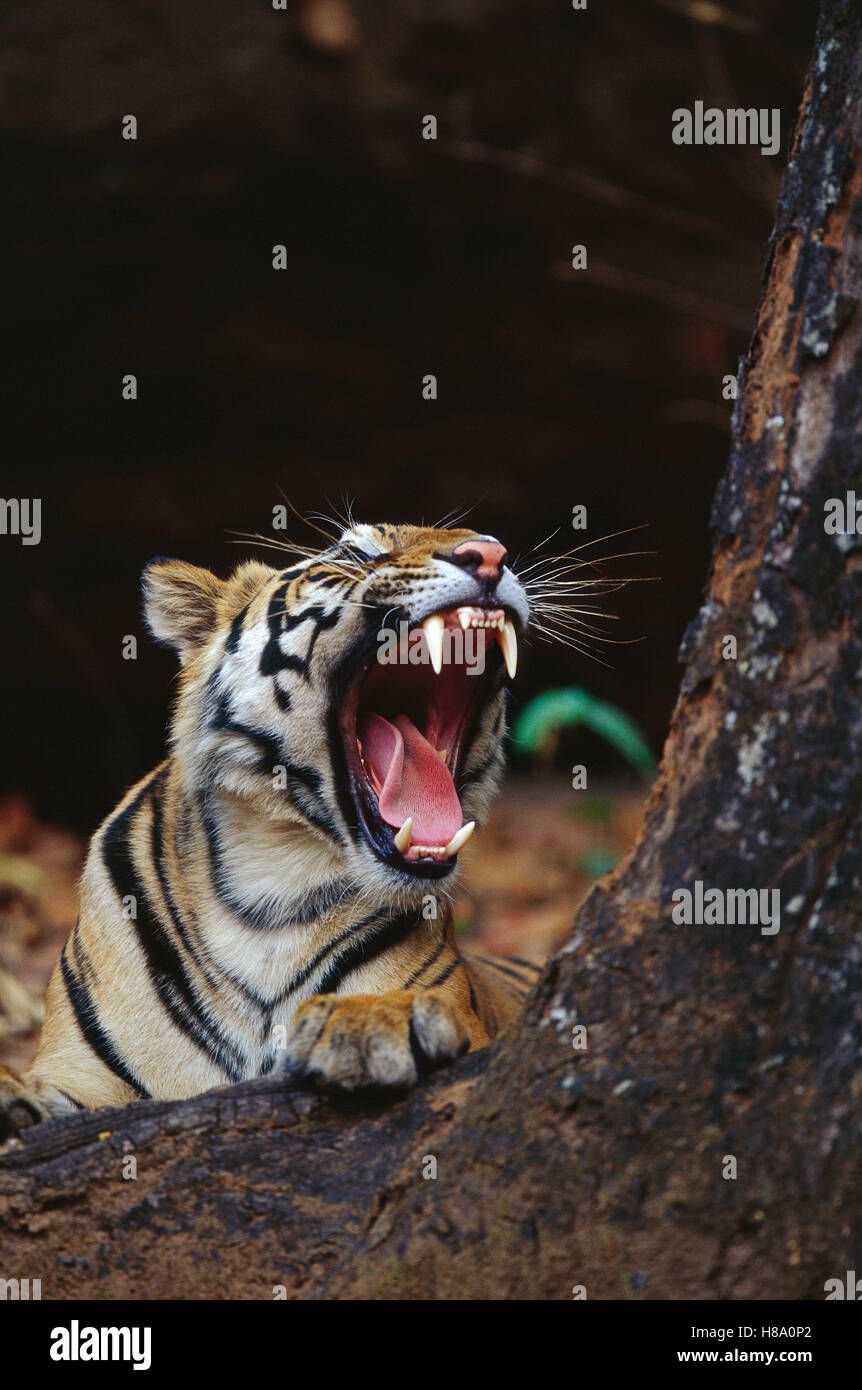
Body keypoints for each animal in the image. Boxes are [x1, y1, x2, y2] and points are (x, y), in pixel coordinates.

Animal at [0, 521, 544, 1141]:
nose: (490, 555)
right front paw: (15, 1096)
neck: (271, 892)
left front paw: (372, 1018)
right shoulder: (79, 1072)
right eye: (356, 552)